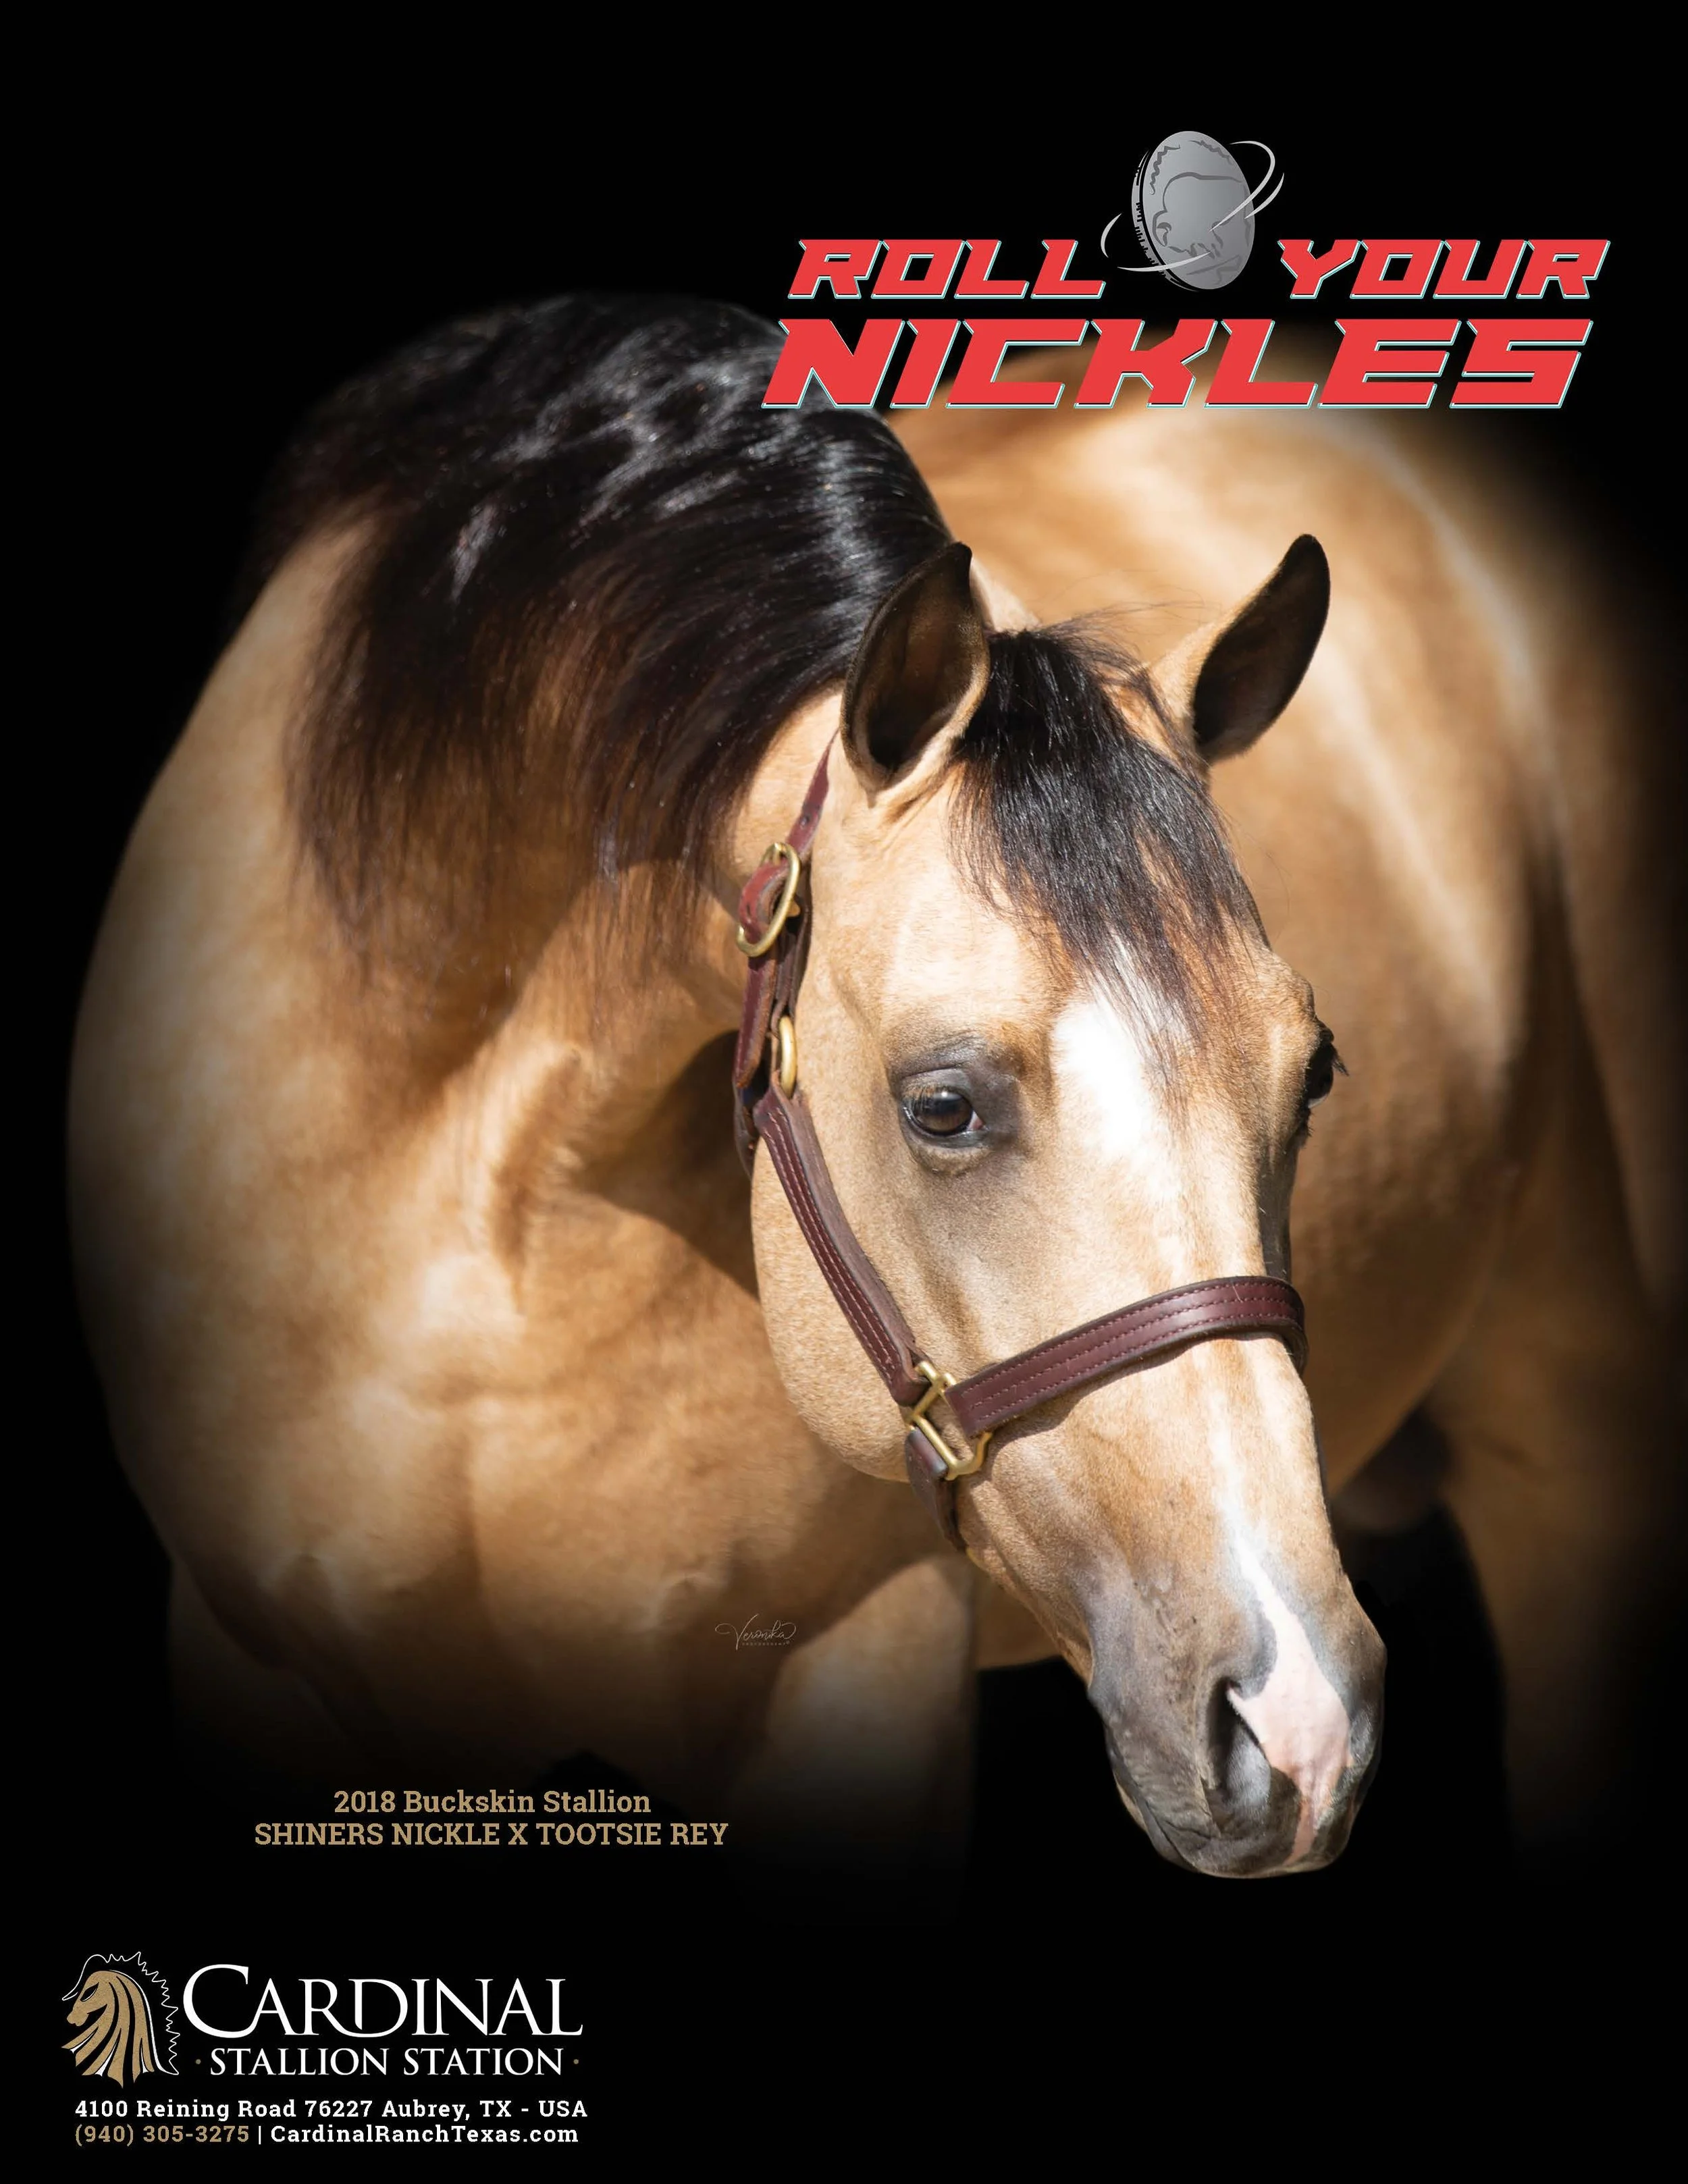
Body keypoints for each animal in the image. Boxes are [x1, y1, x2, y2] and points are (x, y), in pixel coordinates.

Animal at [69, 296, 1682, 1884]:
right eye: (942, 1105)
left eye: (1312, 1077)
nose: (1294, 1723)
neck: (472, 1219)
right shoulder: (252, 1662)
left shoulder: (859, 1674)